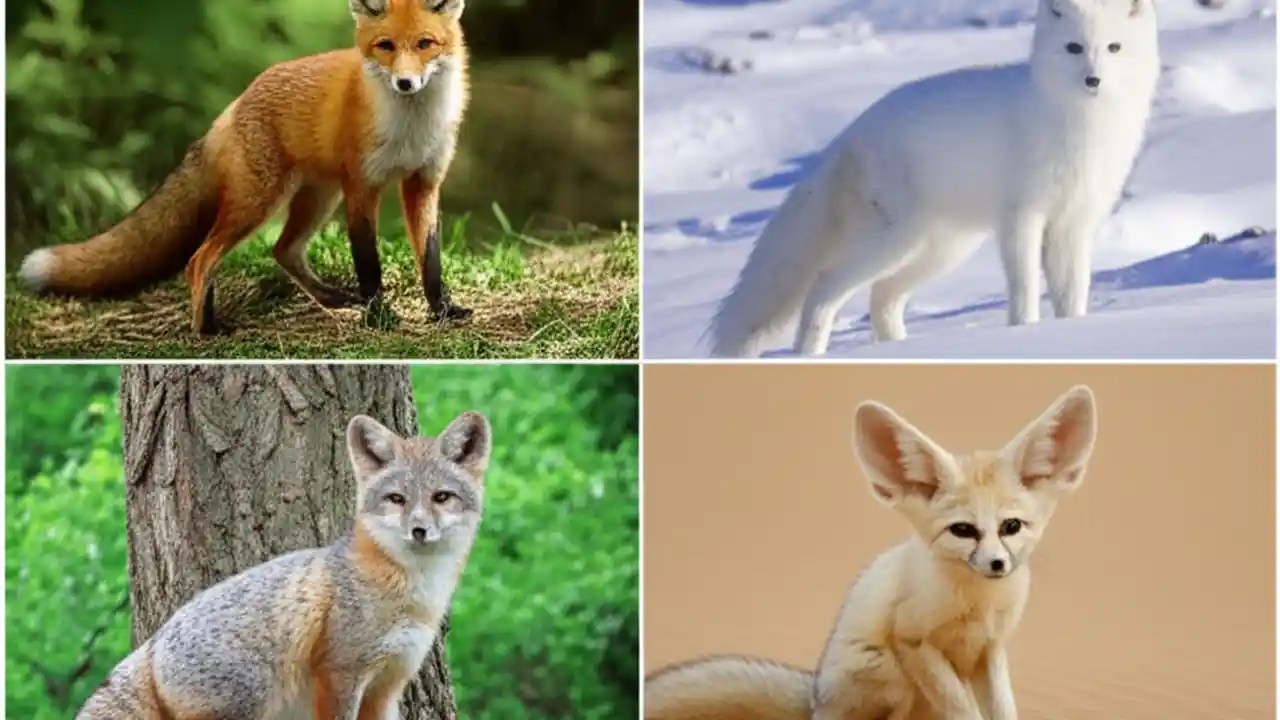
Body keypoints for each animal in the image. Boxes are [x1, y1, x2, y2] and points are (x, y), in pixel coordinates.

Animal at [20, 0, 472, 335]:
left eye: (425, 43)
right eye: (385, 46)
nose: (405, 83)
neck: (410, 127)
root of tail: (235, 103)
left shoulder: (423, 182)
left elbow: (430, 260)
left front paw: (442, 309)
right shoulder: (363, 187)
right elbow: (369, 265)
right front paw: (379, 316)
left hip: (318, 198)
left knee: (283, 250)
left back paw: (330, 299)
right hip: (259, 202)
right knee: (199, 260)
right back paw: (207, 328)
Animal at [75, 411, 491, 720]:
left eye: (441, 497)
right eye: (397, 499)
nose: (419, 530)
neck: (416, 593)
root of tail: (152, 645)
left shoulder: (387, 686)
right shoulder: (340, 674)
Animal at [645, 385, 1098, 720]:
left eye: (1011, 527)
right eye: (963, 531)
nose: (998, 564)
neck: (977, 606)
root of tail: (814, 701)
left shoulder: (990, 650)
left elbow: (1003, 708)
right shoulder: (912, 641)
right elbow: (962, 709)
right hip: (888, 673)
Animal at [708, 0, 1160, 357]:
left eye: (1114, 47)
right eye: (1073, 47)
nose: (1093, 80)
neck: (1081, 127)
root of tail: (851, 132)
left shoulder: (1074, 223)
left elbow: (1072, 295)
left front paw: (1071, 330)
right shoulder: (1023, 217)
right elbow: (1025, 290)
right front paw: (1024, 333)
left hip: (940, 249)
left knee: (883, 298)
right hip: (895, 240)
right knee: (824, 289)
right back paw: (812, 355)